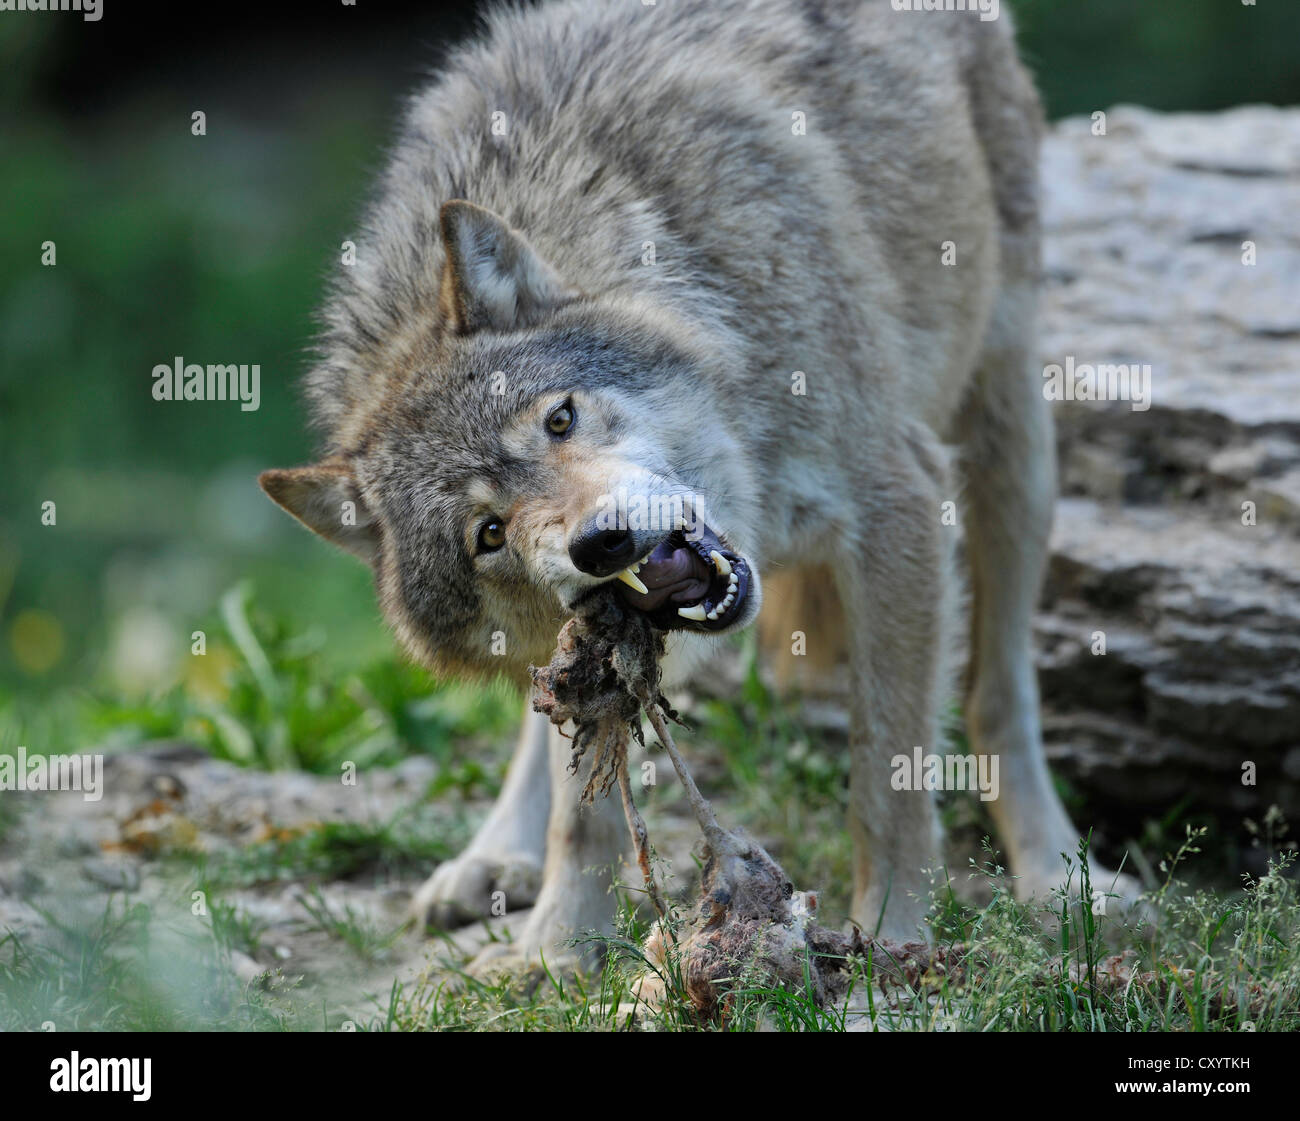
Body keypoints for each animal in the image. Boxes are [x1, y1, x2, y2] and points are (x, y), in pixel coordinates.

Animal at [260, 0, 1137, 970]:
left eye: (559, 419)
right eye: (487, 534)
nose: (599, 540)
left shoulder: (896, 503)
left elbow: (887, 775)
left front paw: (892, 935)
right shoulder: (591, 651)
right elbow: (582, 812)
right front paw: (556, 952)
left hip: (1010, 437)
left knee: (1000, 692)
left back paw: (1059, 877)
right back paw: (494, 855)